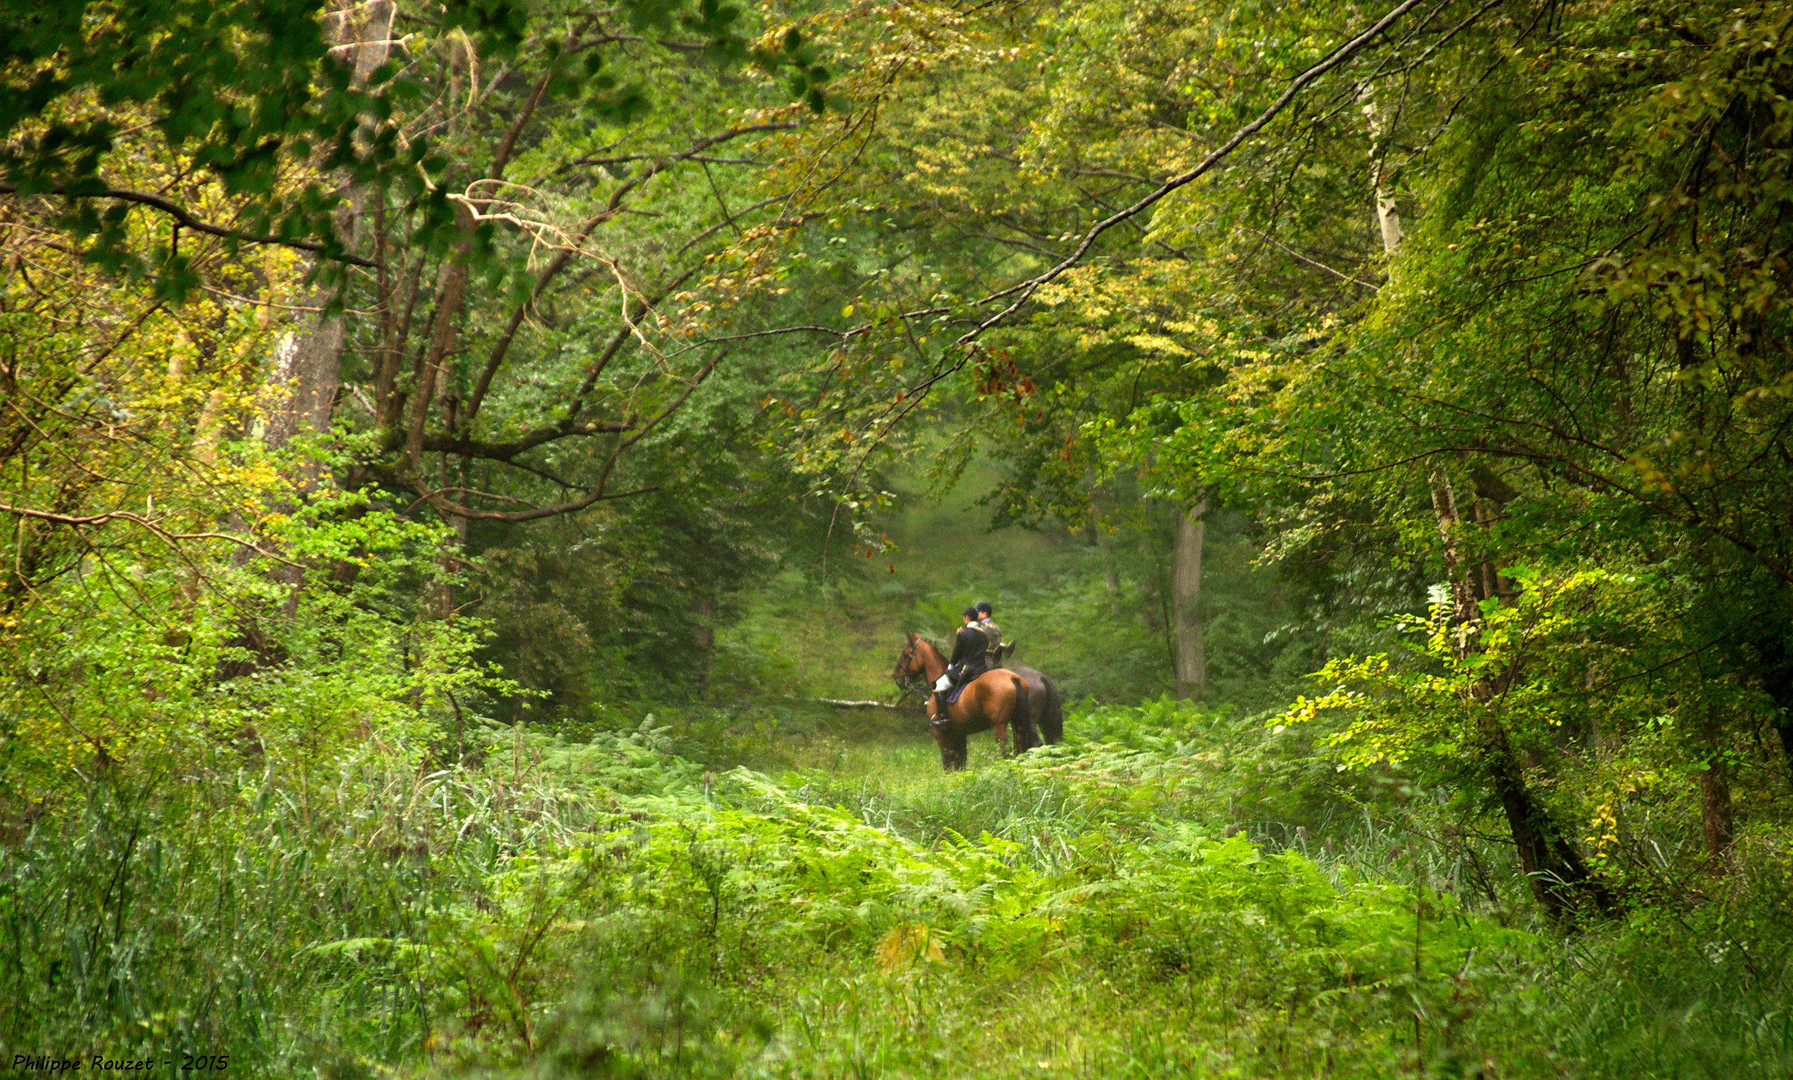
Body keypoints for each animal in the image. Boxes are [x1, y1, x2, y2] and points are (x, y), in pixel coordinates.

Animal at [892, 627, 1039, 767]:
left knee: (1006, 753)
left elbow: (948, 763)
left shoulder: (941, 734)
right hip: (1017, 723)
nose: (896, 677)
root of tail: (1012, 678)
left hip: (999, 726)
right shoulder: (959, 734)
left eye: (906, 654)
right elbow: (960, 762)